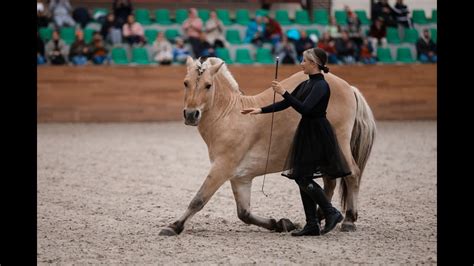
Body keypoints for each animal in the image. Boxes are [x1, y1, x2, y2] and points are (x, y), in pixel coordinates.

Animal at [161, 57, 376, 236]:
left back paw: (348, 220)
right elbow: (244, 213)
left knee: (353, 175)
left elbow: (198, 199)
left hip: (340, 147)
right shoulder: (240, 178)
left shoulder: (221, 168)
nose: (191, 115)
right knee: (329, 182)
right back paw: (322, 216)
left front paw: (174, 226)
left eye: (208, 85)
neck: (230, 116)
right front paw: (281, 223)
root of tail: (348, 87)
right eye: (186, 83)